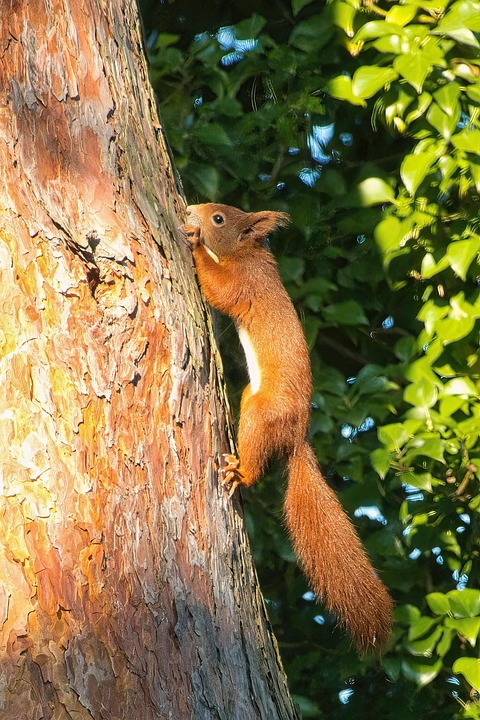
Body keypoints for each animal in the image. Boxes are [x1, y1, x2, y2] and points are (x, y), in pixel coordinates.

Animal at [182, 202, 393, 653]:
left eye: (219, 218)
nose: (191, 209)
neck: (249, 254)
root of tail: (296, 438)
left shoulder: (244, 283)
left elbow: (219, 288)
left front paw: (194, 242)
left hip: (263, 413)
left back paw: (240, 472)